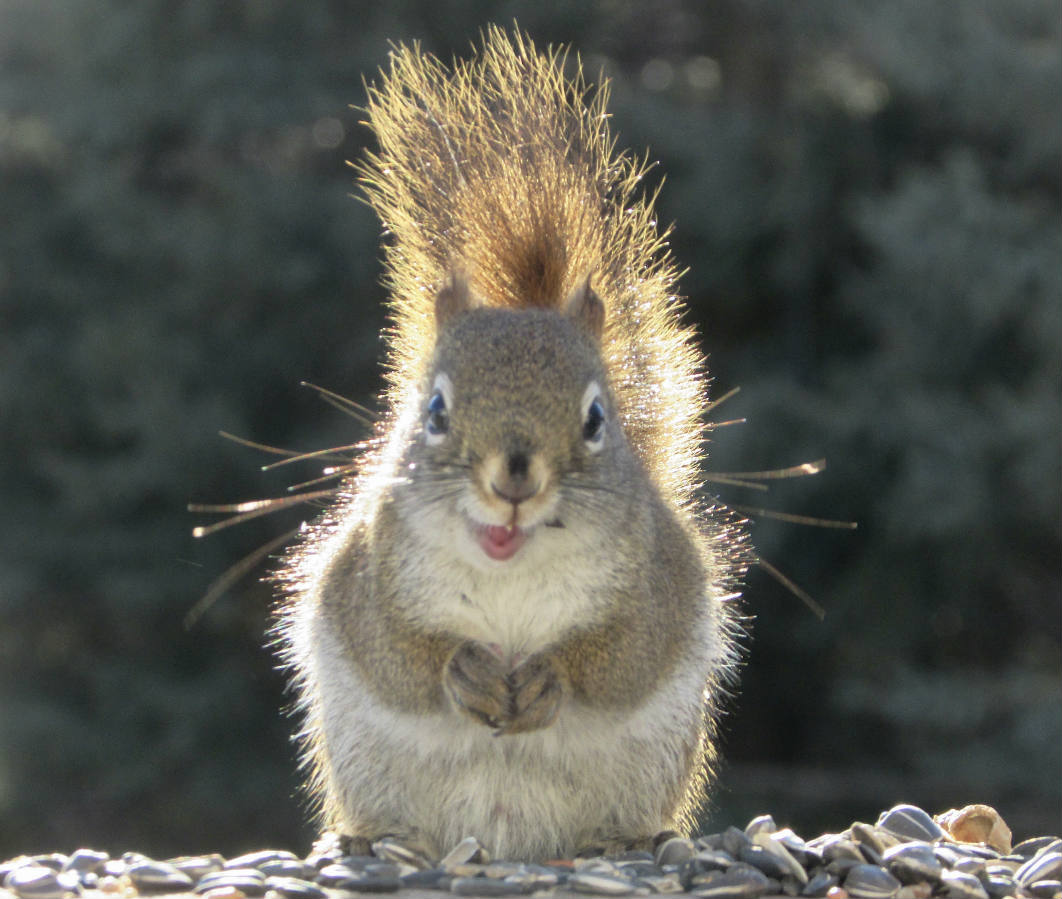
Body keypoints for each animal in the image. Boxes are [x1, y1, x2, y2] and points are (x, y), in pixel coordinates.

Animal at [275, 26, 743, 862]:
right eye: (433, 409)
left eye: (597, 419)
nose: (514, 478)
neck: (511, 576)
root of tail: (503, 845)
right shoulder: (366, 578)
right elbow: (397, 651)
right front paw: (461, 668)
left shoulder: (656, 589)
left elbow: (622, 655)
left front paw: (554, 675)